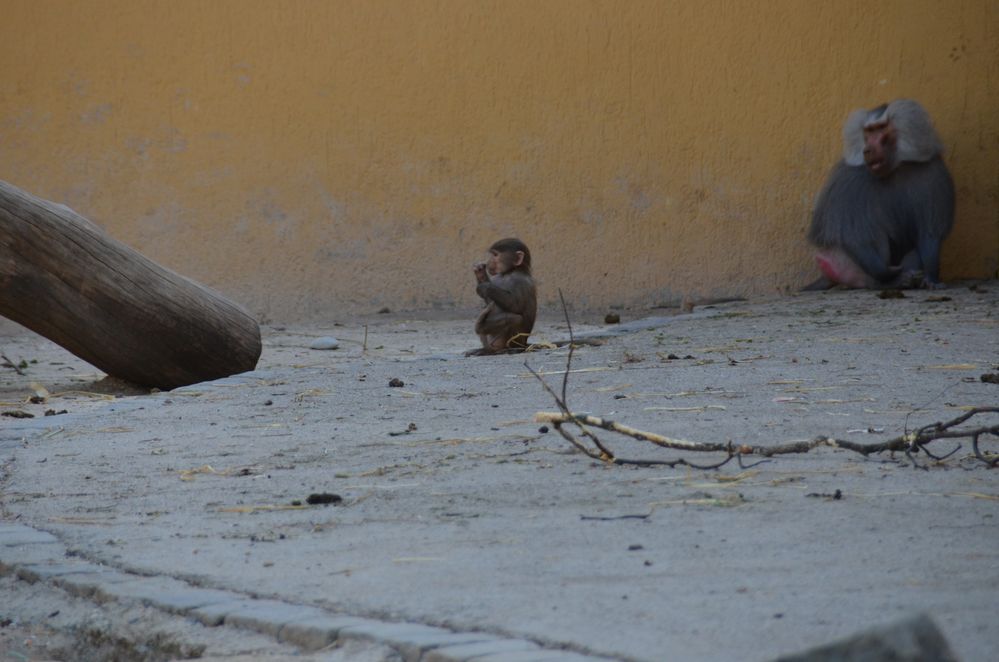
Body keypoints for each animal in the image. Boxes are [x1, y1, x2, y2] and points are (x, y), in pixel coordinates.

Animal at [804, 99, 955, 290]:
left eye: (881, 128)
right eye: (868, 132)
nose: (867, 150)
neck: (893, 169)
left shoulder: (933, 174)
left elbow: (929, 234)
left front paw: (932, 278)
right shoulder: (848, 180)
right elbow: (851, 237)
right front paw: (886, 272)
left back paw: (909, 279)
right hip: (840, 262)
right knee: (873, 233)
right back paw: (891, 281)